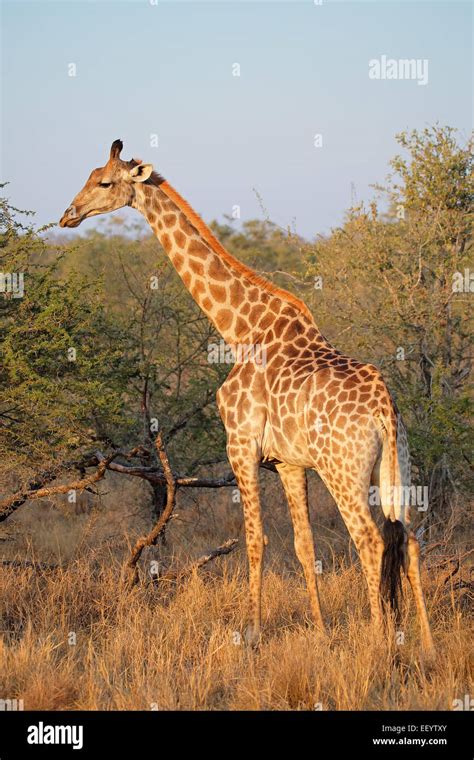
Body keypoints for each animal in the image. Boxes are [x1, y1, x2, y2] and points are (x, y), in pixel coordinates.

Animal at [60, 140, 435, 658]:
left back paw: (380, 643)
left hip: (343, 471)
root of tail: (383, 409)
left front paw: (253, 635)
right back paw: (428, 646)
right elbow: (303, 546)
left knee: (371, 540)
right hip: (397, 467)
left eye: (105, 182)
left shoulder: (240, 445)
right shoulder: (289, 463)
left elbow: (255, 541)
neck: (239, 329)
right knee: (410, 540)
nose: (68, 214)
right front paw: (320, 632)